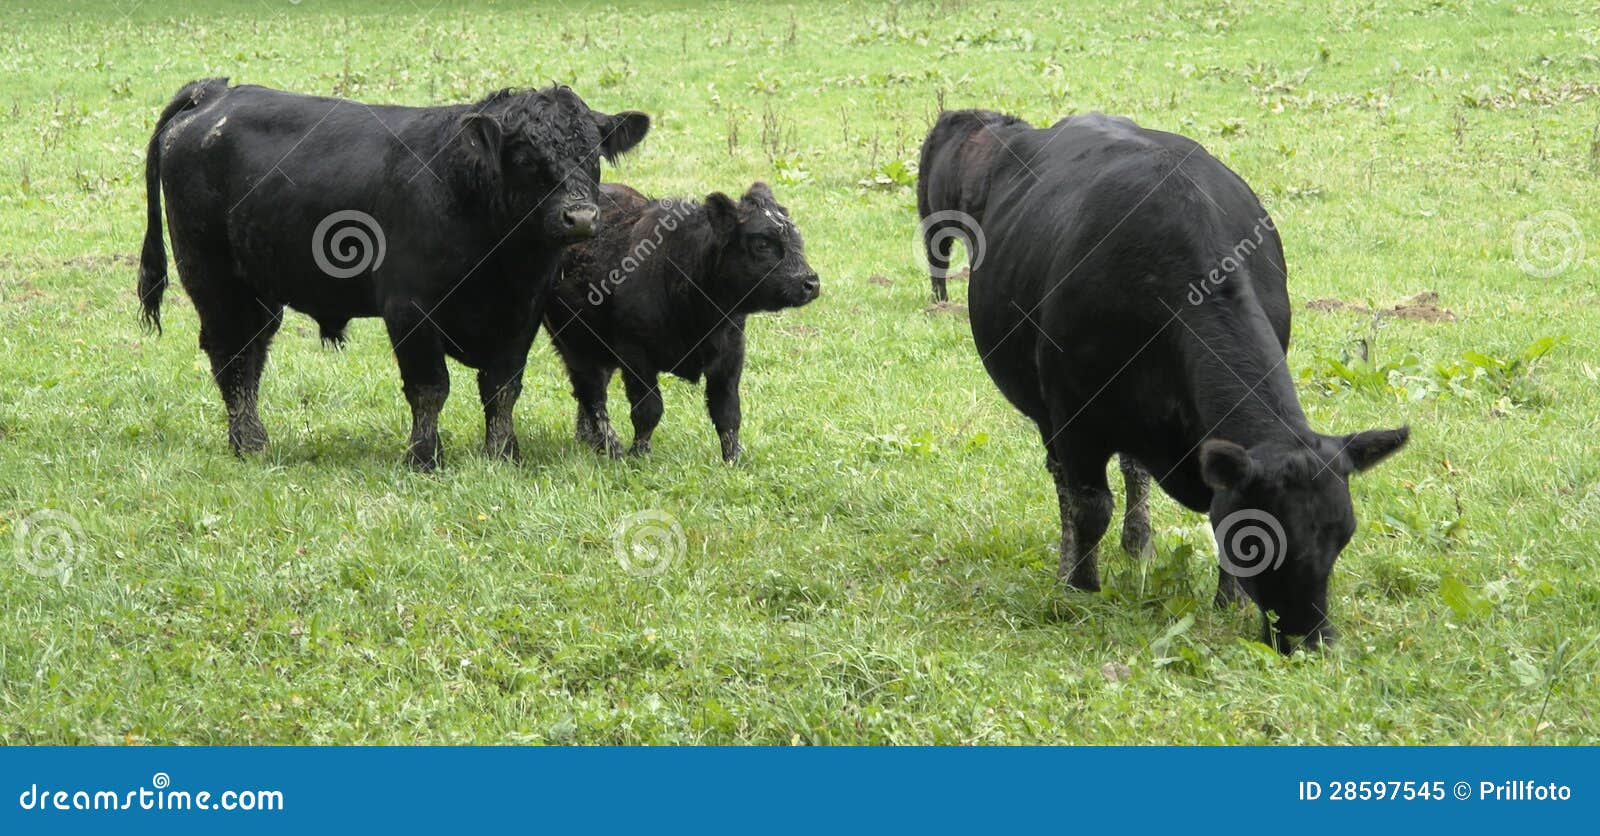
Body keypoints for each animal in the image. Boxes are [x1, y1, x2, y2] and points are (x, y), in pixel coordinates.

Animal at [137, 78, 649, 470]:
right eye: (526, 157)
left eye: (593, 155)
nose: (580, 217)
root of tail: (215, 93)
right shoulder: (409, 309)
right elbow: (429, 388)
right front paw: (424, 458)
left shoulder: (522, 311)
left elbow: (502, 389)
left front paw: (503, 455)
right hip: (214, 279)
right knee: (231, 356)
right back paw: (248, 444)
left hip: (260, 289)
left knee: (253, 354)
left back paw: (254, 438)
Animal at [545, 182, 820, 462]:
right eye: (762, 243)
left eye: (797, 238)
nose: (810, 283)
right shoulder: (635, 353)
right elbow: (648, 409)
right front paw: (639, 455)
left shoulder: (730, 353)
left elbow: (727, 411)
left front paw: (733, 459)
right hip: (574, 345)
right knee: (592, 395)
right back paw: (611, 447)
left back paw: (588, 439)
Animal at [918, 109, 1409, 652]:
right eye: (1255, 541)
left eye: (1344, 535)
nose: (1310, 640)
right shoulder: (1073, 416)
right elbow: (1089, 506)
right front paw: (1081, 589)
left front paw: (1229, 599)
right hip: (1048, 410)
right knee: (1065, 483)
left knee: (1134, 470)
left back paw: (1138, 543)